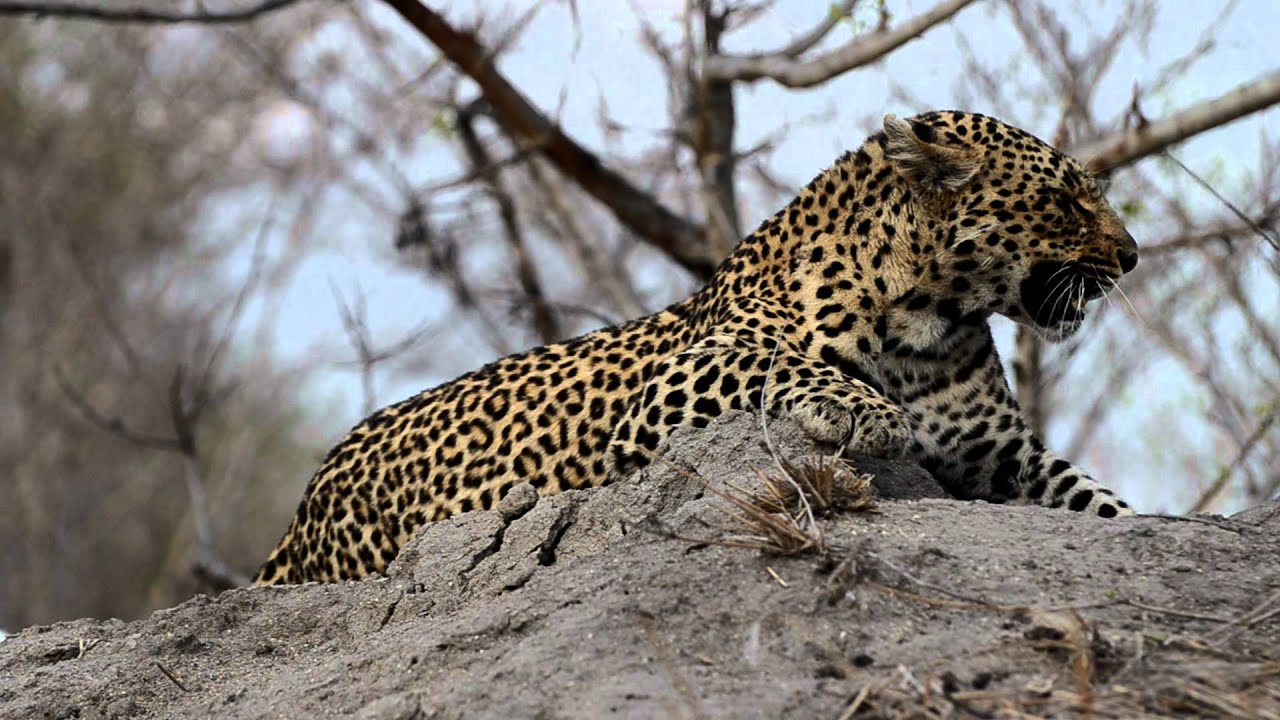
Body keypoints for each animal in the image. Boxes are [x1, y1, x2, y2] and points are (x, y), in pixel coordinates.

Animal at [254, 110, 1139, 586]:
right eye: (1067, 199)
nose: (1132, 255)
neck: (929, 316)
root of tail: (299, 515)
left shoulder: (1000, 455)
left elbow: (1098, 502)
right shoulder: (673, 386)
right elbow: (780, 359)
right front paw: (864, 410)